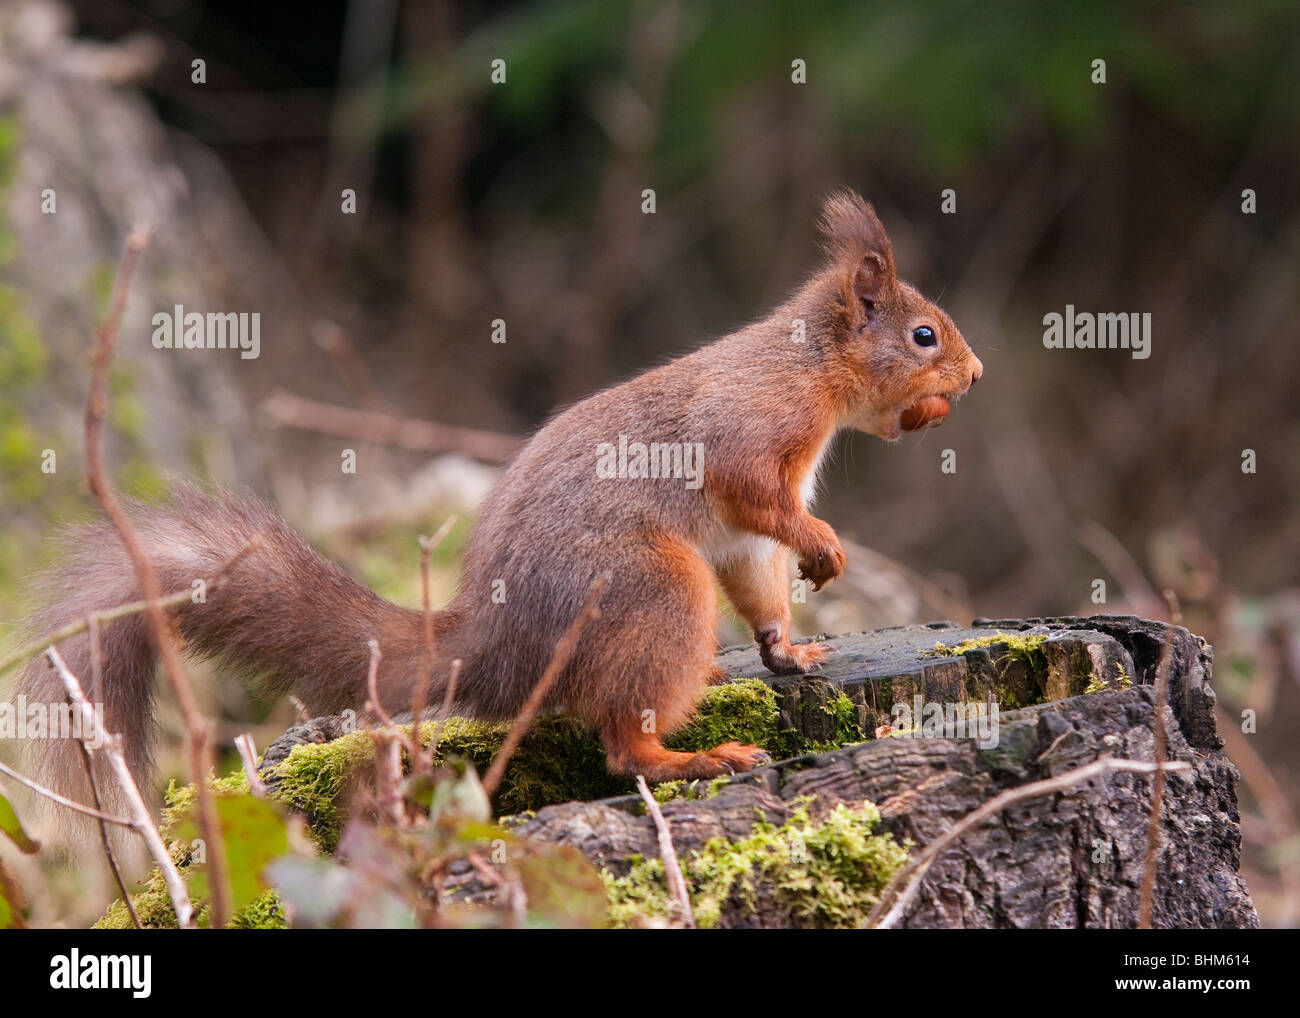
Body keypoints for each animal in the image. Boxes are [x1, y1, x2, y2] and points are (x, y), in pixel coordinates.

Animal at [14, 190, 981, 821]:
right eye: (923, 335)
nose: (973, 376)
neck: (807, 368)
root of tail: (497, 641)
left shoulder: (745, 539)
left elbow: (760, 575)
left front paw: (792, 646)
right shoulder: (749, 432)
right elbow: (755, 498)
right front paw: (825, 546)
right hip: (654, 590)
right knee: (622, 744)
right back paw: (697, 753)